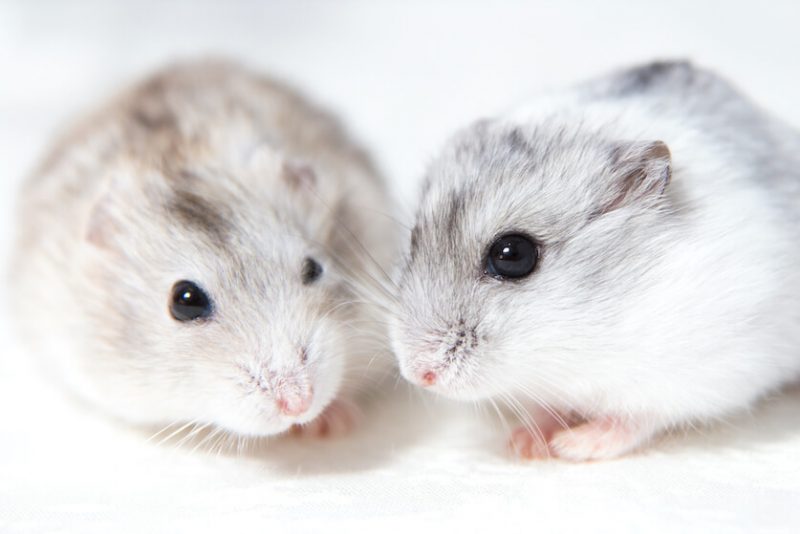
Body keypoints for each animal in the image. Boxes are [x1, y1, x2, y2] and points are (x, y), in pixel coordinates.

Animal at [390, 61, 800, 461]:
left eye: (513, 255)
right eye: (412, 240)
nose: (418, 375)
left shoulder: (691, 374)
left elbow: (635, 419)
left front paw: (572, 446)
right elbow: (545, 408)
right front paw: (524, 444)